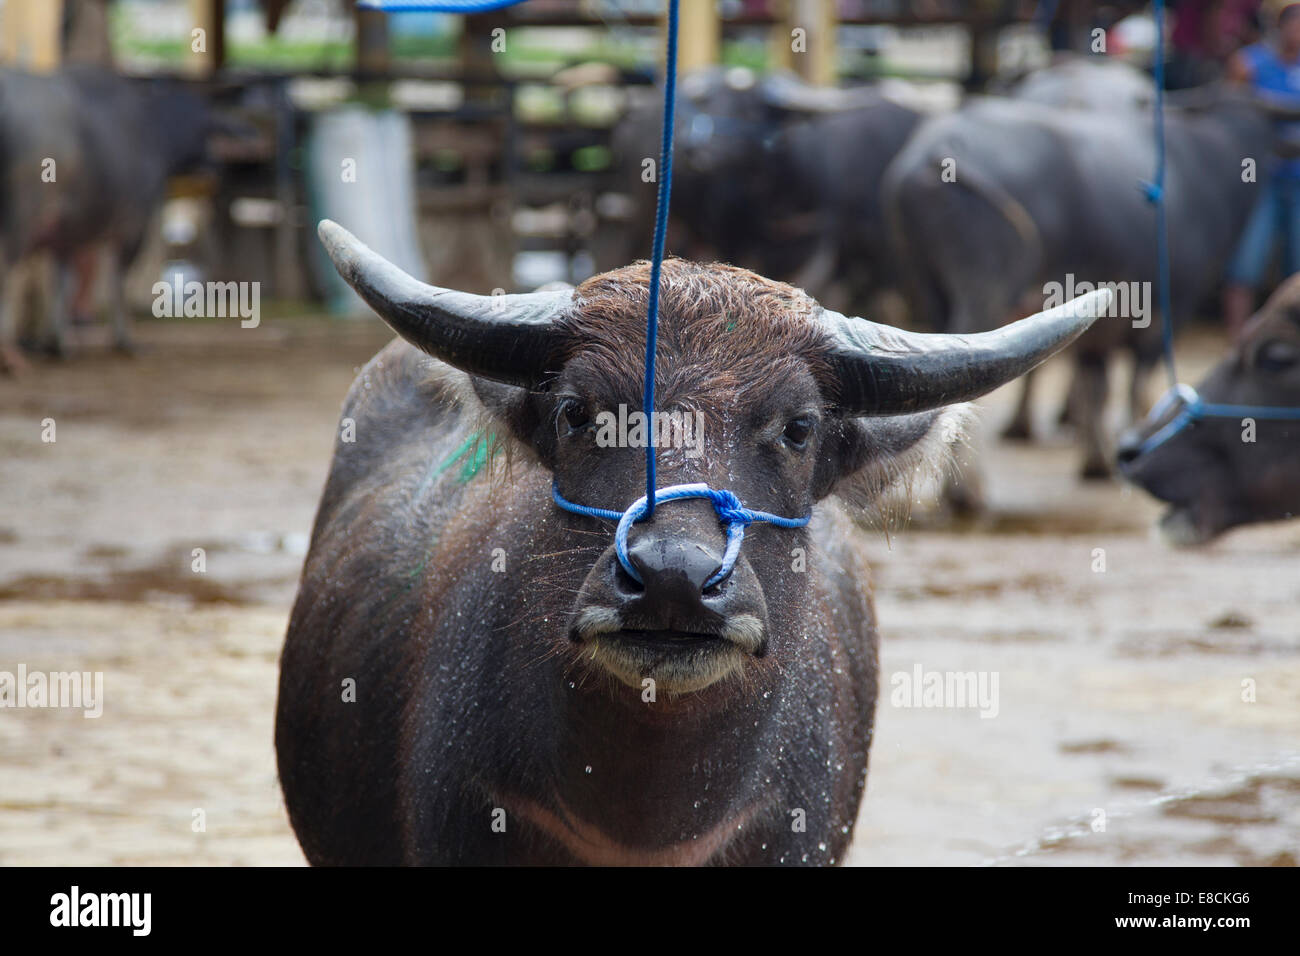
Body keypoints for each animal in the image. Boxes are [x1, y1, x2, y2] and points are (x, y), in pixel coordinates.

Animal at [0, 66, 215, 371]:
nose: (211, 168)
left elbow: (62, 280)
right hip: (20, 215)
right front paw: (125, 341)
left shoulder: (65, 234)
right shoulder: (135, 223)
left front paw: (56, 344)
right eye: (202, 126)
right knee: (7, 270)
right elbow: (117, 281)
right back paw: (10, 356)